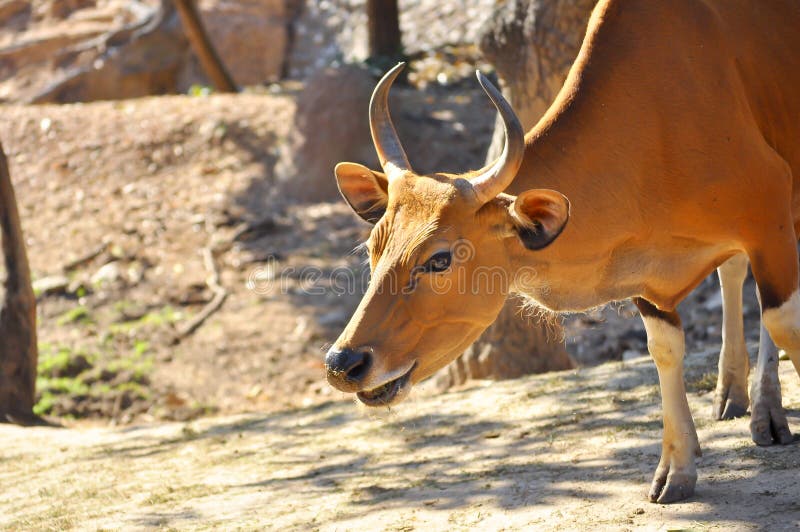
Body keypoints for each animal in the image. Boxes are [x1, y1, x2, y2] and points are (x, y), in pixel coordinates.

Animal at [324, 0, 800, 503]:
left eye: (439, 258)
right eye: (372, 248)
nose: (343, 363)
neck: (658, 123)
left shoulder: (769, 215)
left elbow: (784, 324)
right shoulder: (646, 272)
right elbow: (665, 348)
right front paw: (677, 468)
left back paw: (767, 411)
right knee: (733, 270)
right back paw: (737, 393)